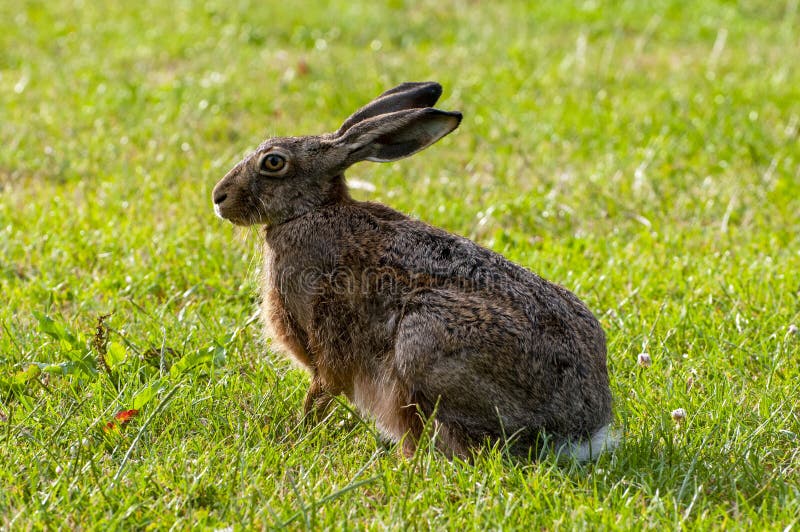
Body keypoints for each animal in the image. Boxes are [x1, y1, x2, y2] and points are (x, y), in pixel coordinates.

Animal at [212, 82, 616, 460]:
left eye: (273, 163)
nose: (218, 197)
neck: (311, 211)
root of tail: (578, 432)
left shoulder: (329, 335)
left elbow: (322, 390)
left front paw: (298, 435)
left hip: (422, 340)